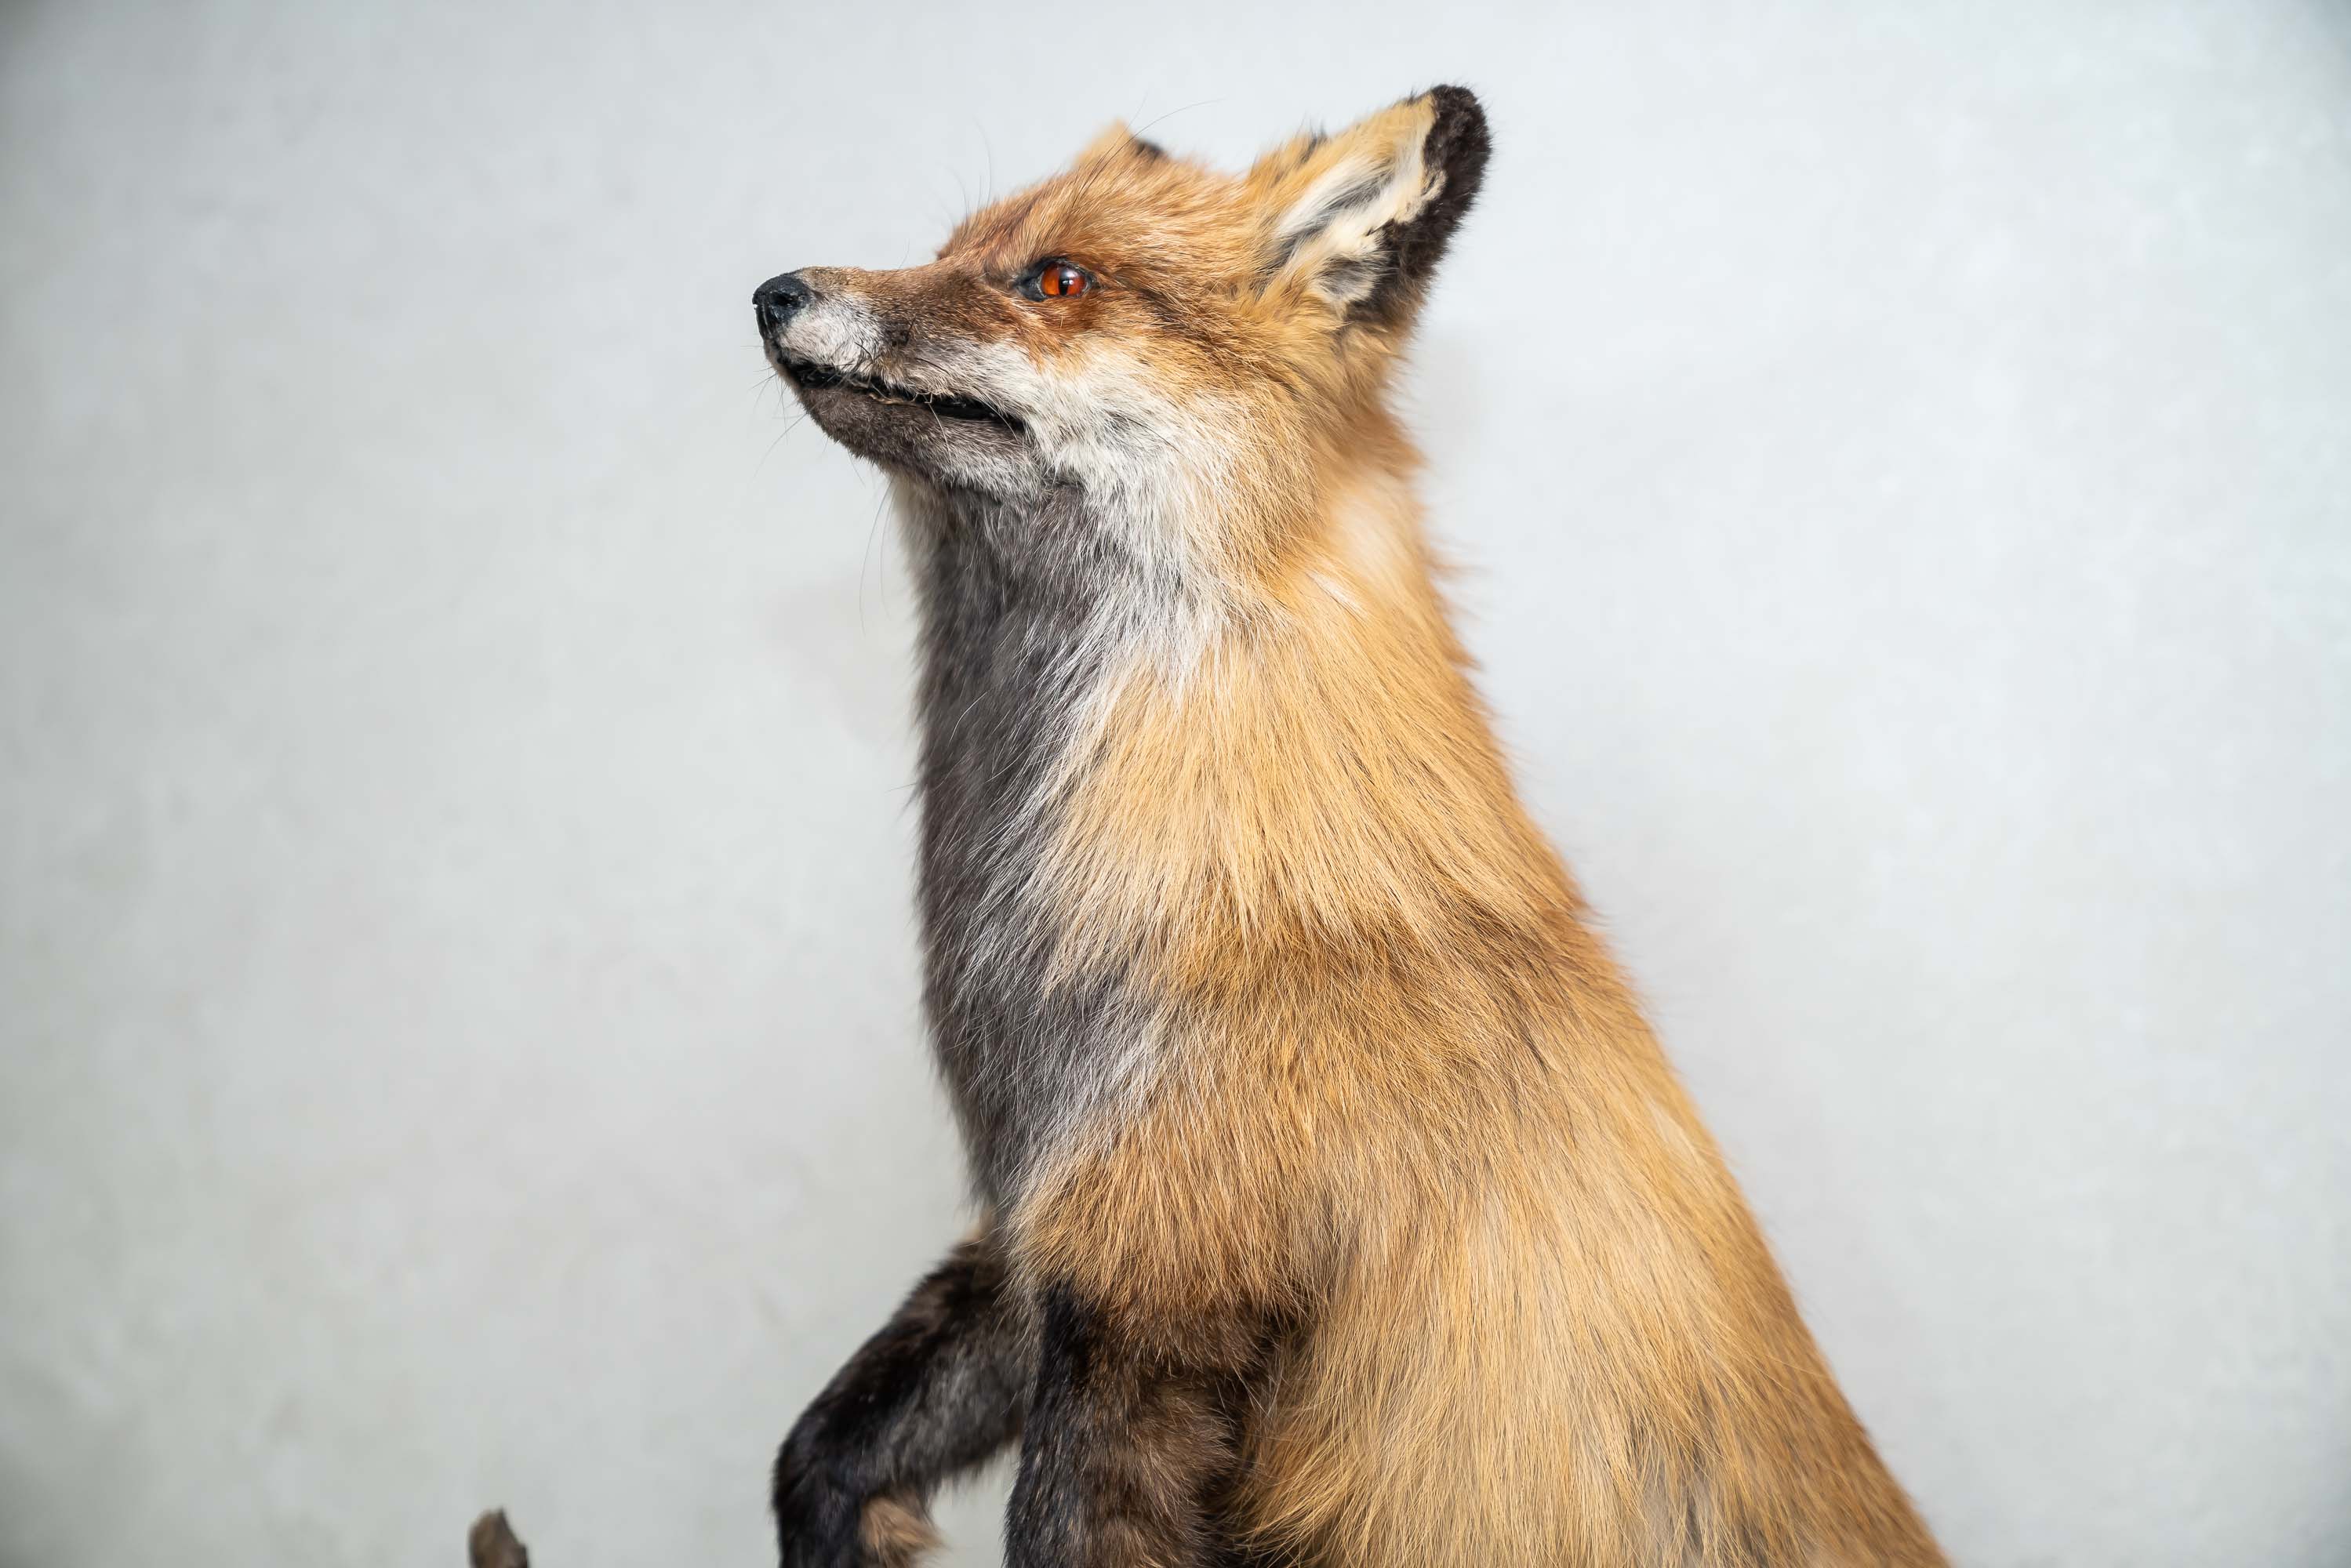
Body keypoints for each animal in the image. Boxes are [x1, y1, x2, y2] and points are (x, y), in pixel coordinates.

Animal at [752, 87, 1948, 1568]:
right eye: (944, 250)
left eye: (1055, 281)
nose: (774, 290)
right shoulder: (1037, 1247)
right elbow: (821, 1447)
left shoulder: (1147, 1280)